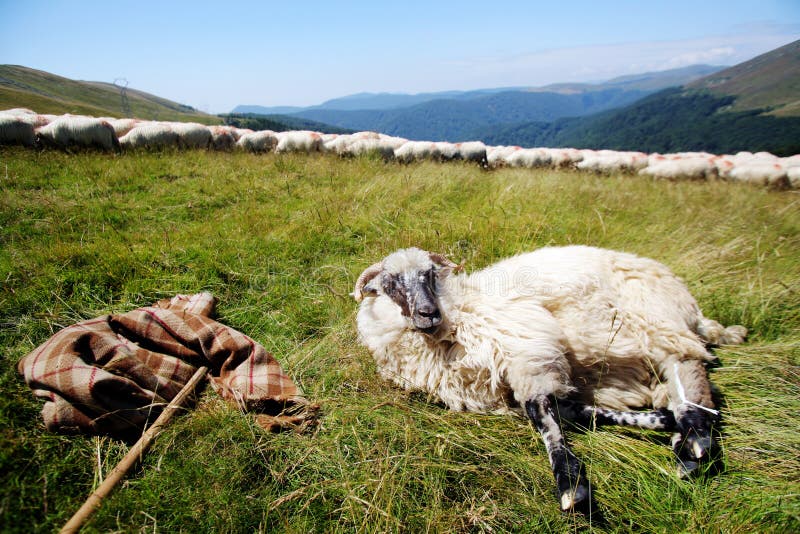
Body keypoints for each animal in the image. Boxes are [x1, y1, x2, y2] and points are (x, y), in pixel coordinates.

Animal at [352, 246, 746, 511]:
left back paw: (695, 445)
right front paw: (658, 420)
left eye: (430, 275)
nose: (428, 313)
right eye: (390, 282)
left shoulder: (527, 347)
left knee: (688, 373)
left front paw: (571, 485)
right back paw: (682, 436)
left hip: (655, 316)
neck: (458, 311)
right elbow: (572, 410)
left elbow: (542, 413)